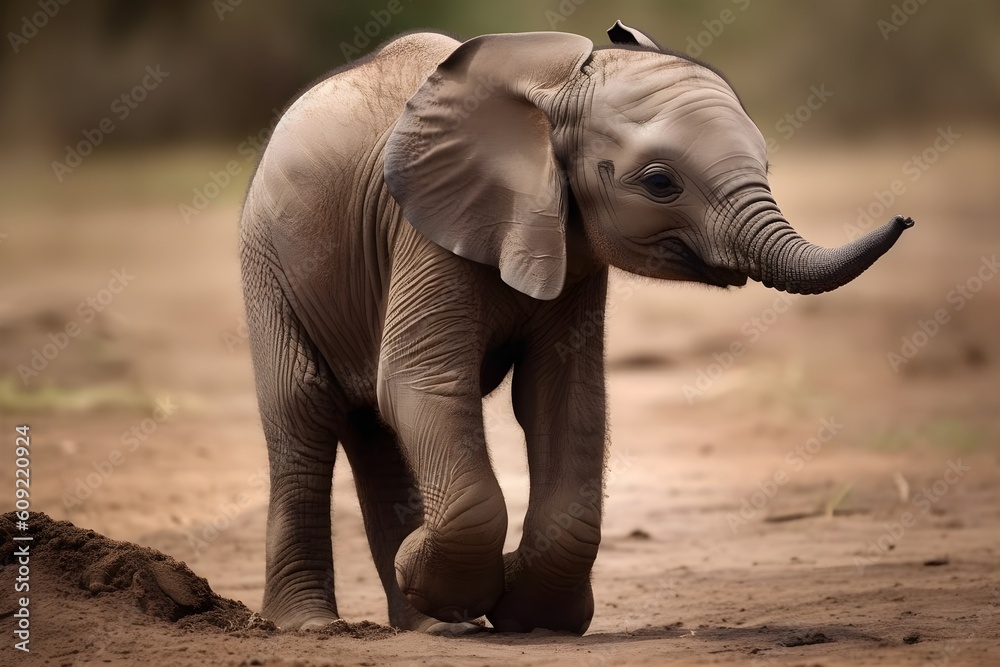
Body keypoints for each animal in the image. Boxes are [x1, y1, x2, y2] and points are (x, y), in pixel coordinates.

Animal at [238, 20, 912, 635]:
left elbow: (565, 399)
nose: (905, 218)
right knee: (303, 409)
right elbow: (421, 378)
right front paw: (442, 577)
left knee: (372, 427)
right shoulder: (425, 230)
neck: (554, 88)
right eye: (660, 182)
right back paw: (313, 626)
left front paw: (531, 617)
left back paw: (431, 626)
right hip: (265, 257)